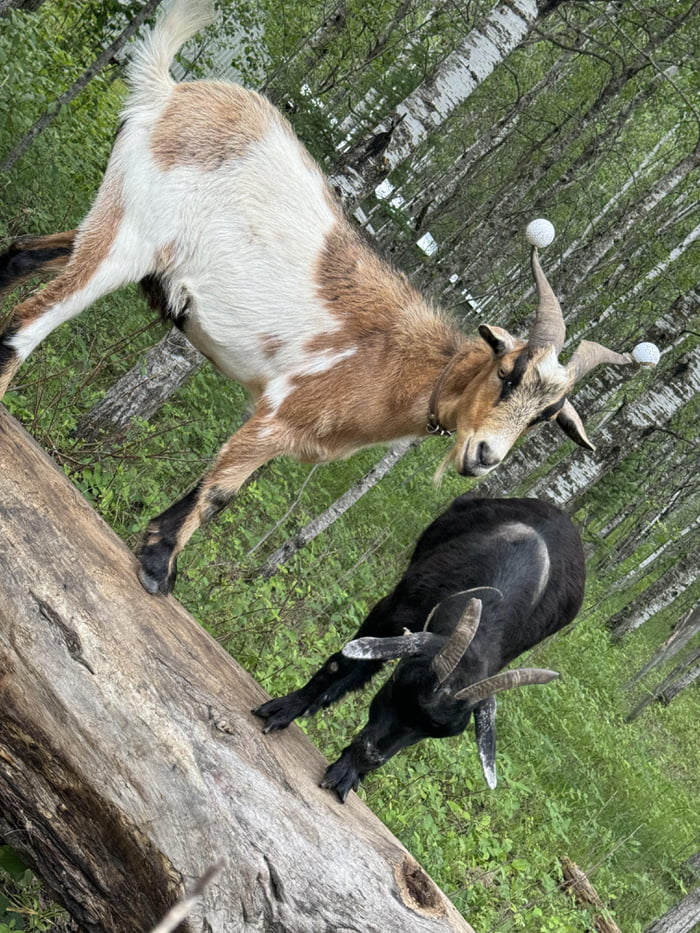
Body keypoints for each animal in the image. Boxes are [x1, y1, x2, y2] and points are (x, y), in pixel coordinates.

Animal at [0, 0, 652, 597]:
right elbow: (223, 490)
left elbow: (221, 488)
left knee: (20, 254)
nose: (487, 455)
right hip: (129, 237)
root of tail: (170, 93)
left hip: (121, 232)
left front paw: (160, 547)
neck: (400, 363)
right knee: (31, 320)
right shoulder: (281, 409)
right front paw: (159, 570)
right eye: (508, 373)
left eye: (548, 417)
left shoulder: (289, 429)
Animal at [254, 495, 585, 802]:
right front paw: (286, 709)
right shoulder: (389, 613)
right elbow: (342, 664)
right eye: (394, 688)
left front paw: (347, 772)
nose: (369, 756)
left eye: (435, 732)